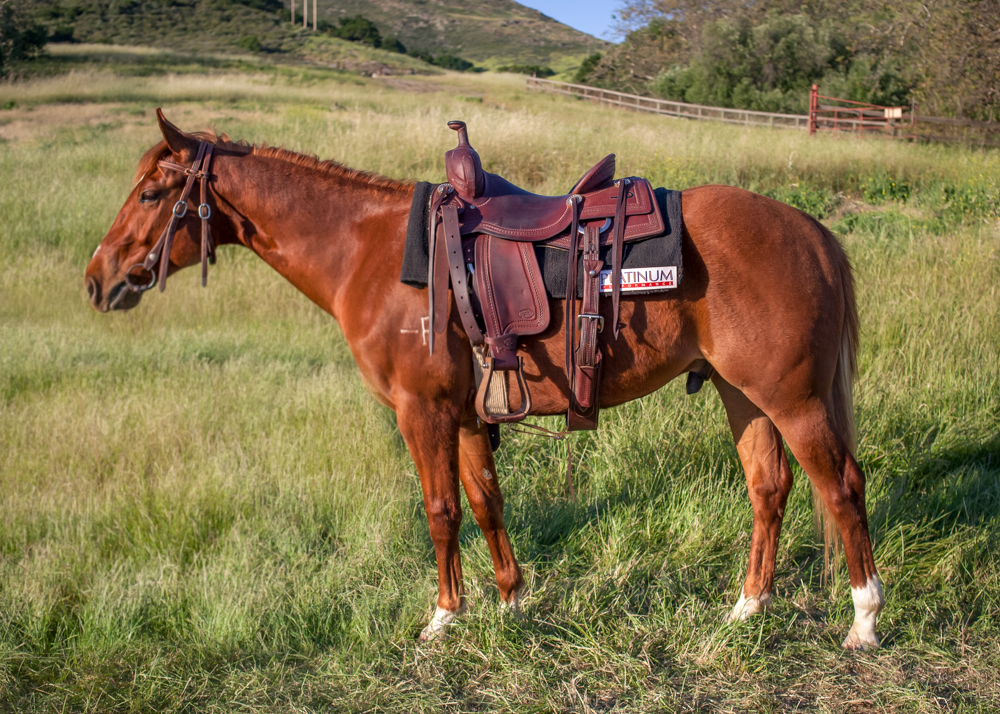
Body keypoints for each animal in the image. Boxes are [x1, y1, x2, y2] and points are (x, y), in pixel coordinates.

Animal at [84, 110, 885, 649]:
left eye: (151, 195)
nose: (97, 280)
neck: (371, 253)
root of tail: (811, 231)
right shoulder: (467, 414)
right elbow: (486, 500)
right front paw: (509, 603)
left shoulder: (422, 411)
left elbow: (440, 510)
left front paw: (444, 616)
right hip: (742, 395)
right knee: (769, 487)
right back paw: (748, 608)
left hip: (795, 400)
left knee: (841, 488)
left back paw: (865, 621)